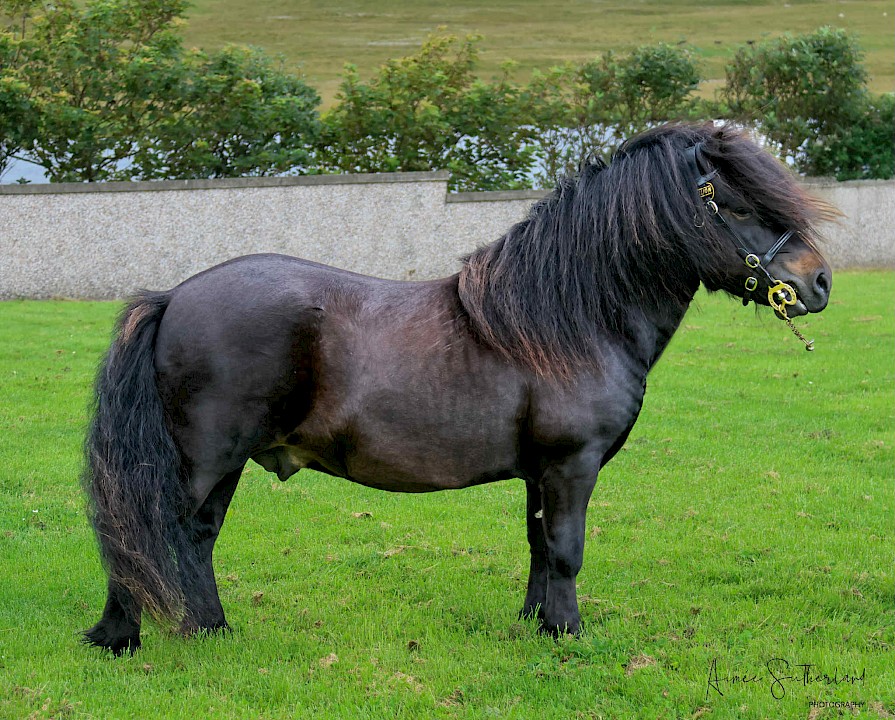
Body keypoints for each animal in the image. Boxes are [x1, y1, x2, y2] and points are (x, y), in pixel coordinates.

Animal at [82, 123, 835, 654]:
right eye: (738, 203)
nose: (818, 282)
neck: (571, 317)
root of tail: (174, 297)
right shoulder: (572, 464)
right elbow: (567, 549)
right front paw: (569, 635)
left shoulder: (542, 472)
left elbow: (539, 546)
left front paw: (536, 625)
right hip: (201, 459)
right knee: (144, 529)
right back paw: (120, 637)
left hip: (225, 461)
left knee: (195, 537)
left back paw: (210, 629)